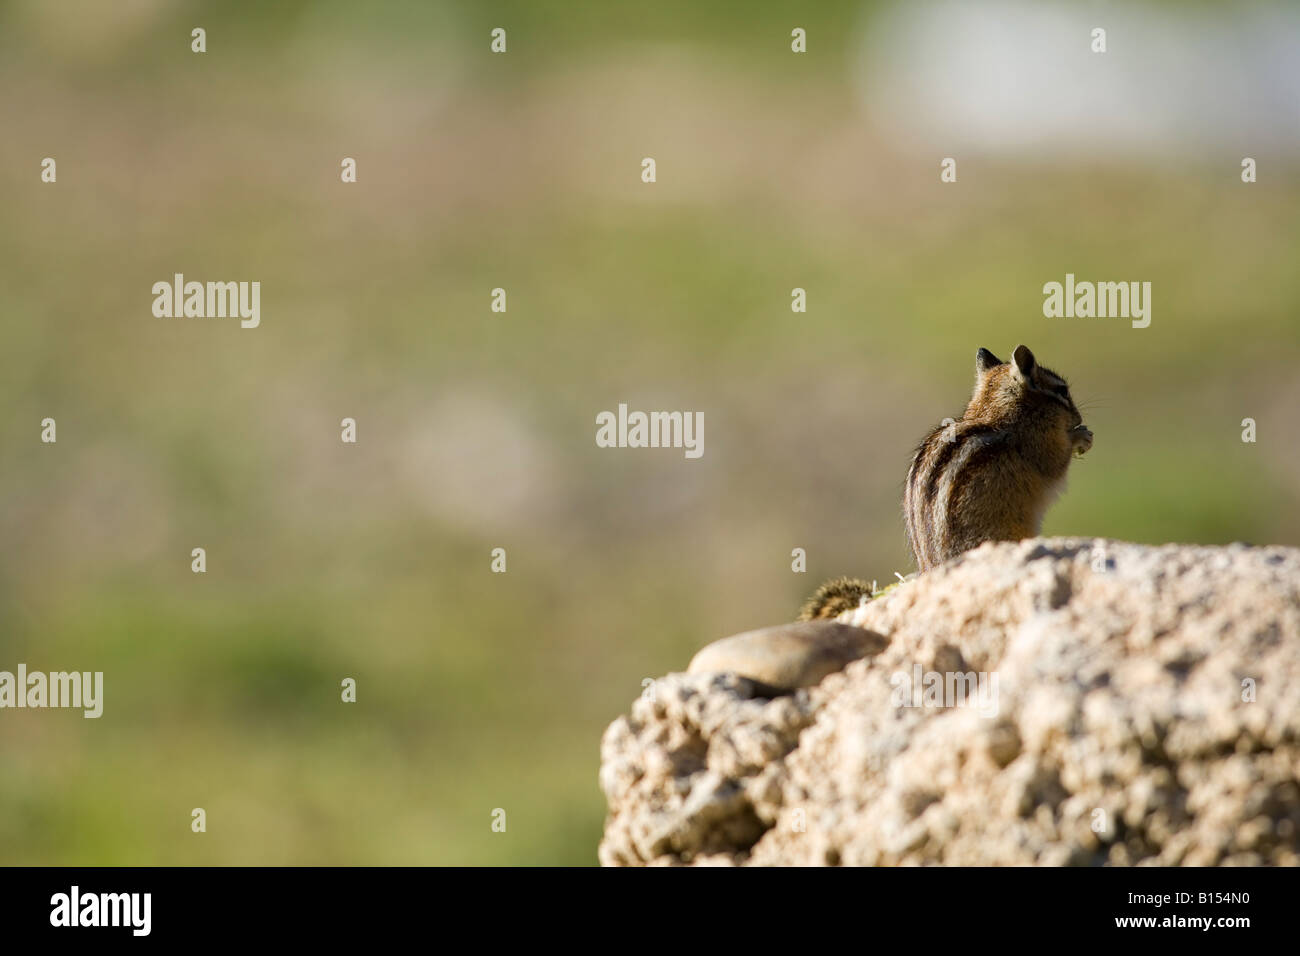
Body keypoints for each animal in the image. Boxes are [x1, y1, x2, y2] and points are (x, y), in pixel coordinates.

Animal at [799, 345, 1092, 621]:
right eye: (1062, 391)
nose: (1079, 417)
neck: (994, 412)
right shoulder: (1040, 446)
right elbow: (1056, 465)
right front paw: (1080, 436)